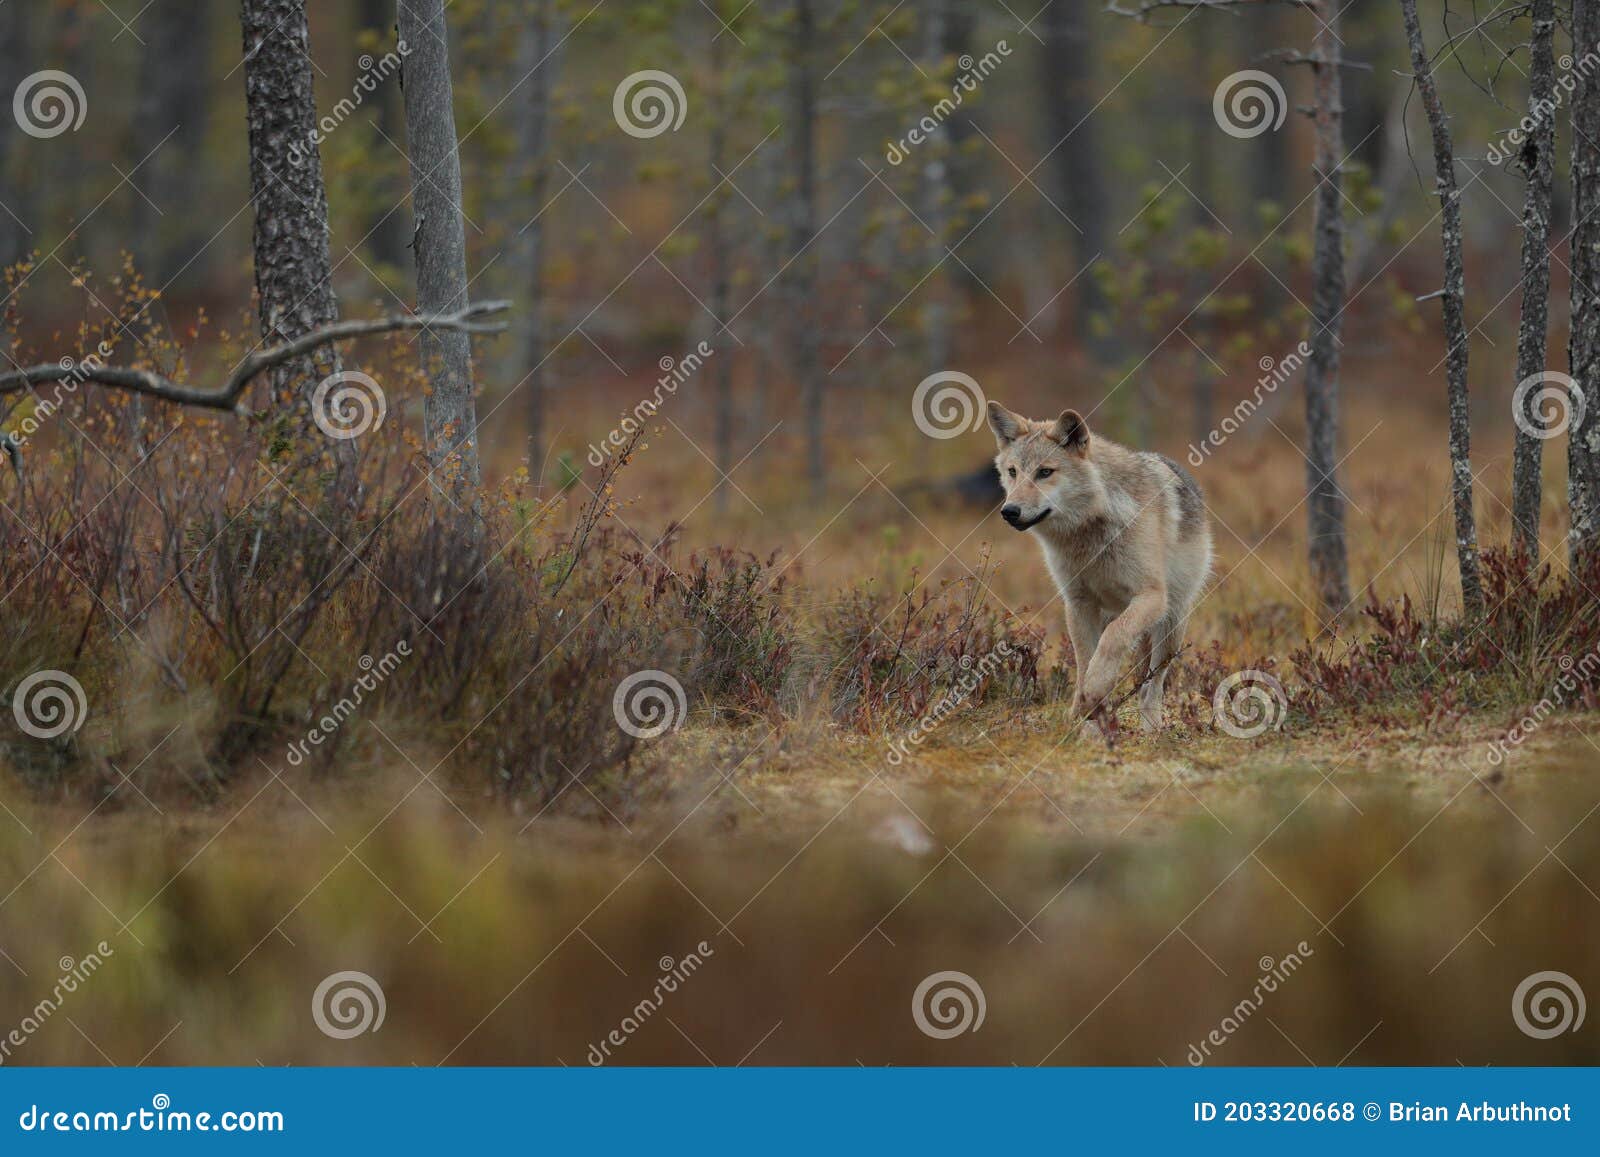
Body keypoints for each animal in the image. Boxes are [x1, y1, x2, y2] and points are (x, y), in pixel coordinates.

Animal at [987, 401, 1212, 733]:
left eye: (1045, 472)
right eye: (1013, 472)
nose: (1009, 511)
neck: (1087, 533)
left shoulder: (1151, 596)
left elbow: (1112, 640)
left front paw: (1095, 689)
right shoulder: (1078, 604)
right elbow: (1084, 661)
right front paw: (1087, 718)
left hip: (1171, 625)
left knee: (1153, 684)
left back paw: (1151, 729)